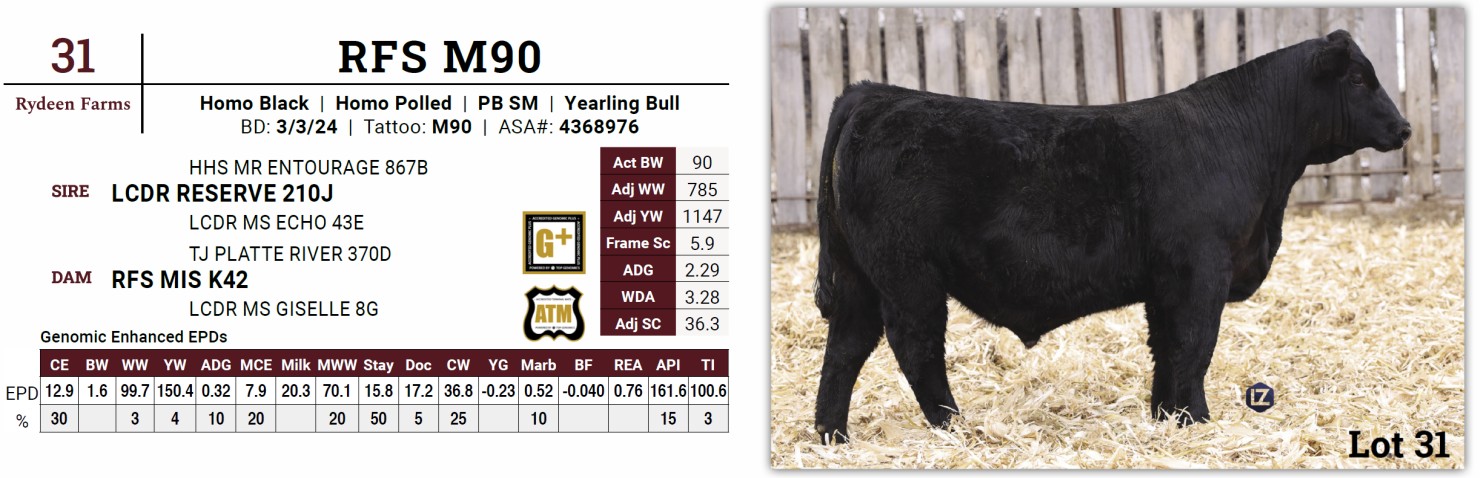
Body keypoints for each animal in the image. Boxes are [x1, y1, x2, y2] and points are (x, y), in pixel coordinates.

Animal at [812, 30, 1410, 444]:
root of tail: (876, 94)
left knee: (845, 348)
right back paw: (953, 427)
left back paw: (832, 436)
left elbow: (1167, 348)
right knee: (914, 345)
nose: (1404, 128)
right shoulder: (1202, 269)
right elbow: (1195, 345)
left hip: (860, 276)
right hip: (907, 274)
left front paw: (1166, 416)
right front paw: (1196, 421)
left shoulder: (1166, 281)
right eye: (1360, 79)